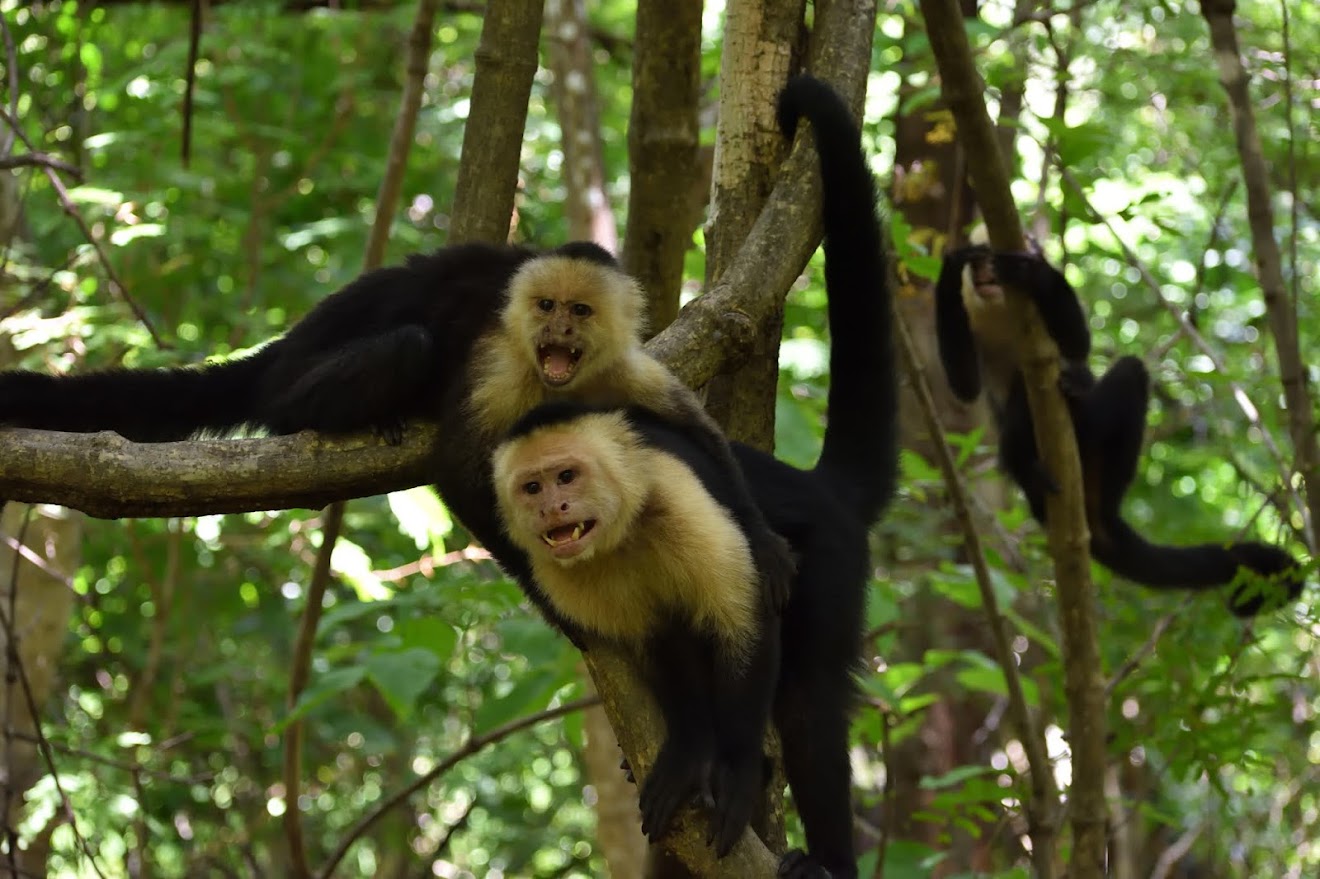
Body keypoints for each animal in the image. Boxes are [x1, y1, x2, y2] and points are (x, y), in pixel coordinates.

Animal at [933, 240, 1306, 616]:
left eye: (992, 257)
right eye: (978, 261)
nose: (982, 271)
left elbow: (1077, 344)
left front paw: (1034, 273)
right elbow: (965, 386)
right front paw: (950, 271)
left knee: (1125, 373)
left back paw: (1078, 410)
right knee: (1020, 398)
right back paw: (1025, 462)